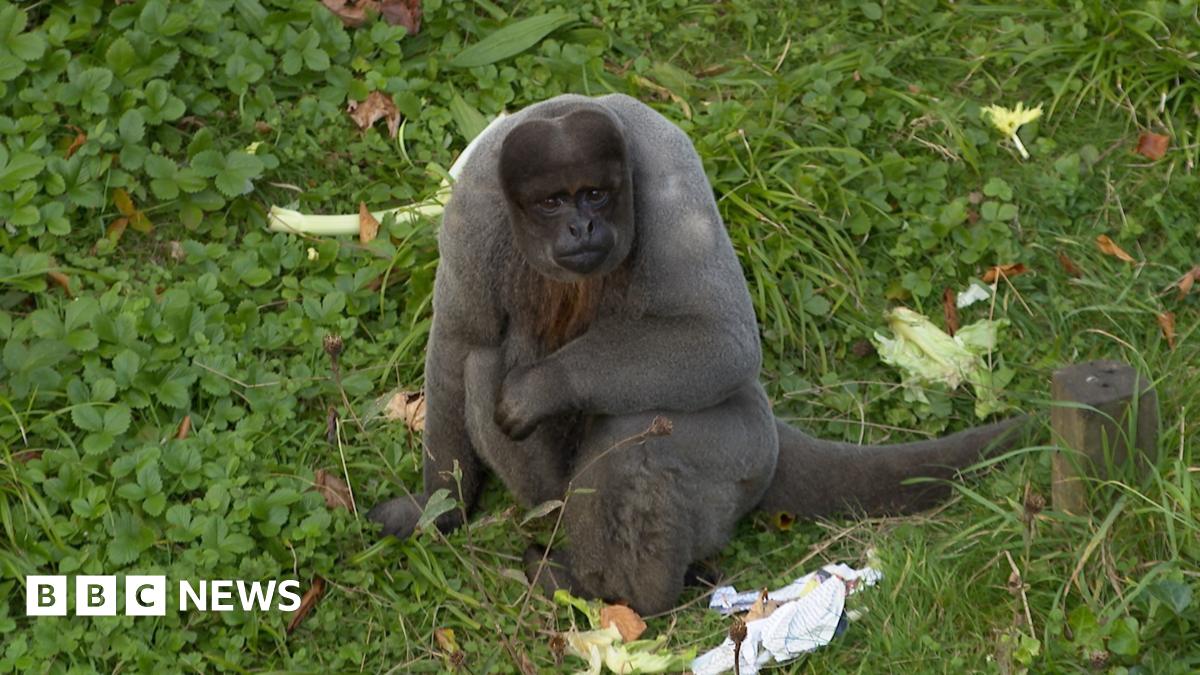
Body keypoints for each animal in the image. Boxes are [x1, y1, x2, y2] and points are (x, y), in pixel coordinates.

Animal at [367, 94, 1030, 615]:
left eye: (595, 194)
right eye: (553, 202)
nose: (582, 228)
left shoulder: (669, 180)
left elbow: (722, 342)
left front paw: (545, 386)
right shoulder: (472, 210)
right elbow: (460, 341)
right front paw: (439, 506)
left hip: (745, 458)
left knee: (638, 437)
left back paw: (619, 595)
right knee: (487, 364)